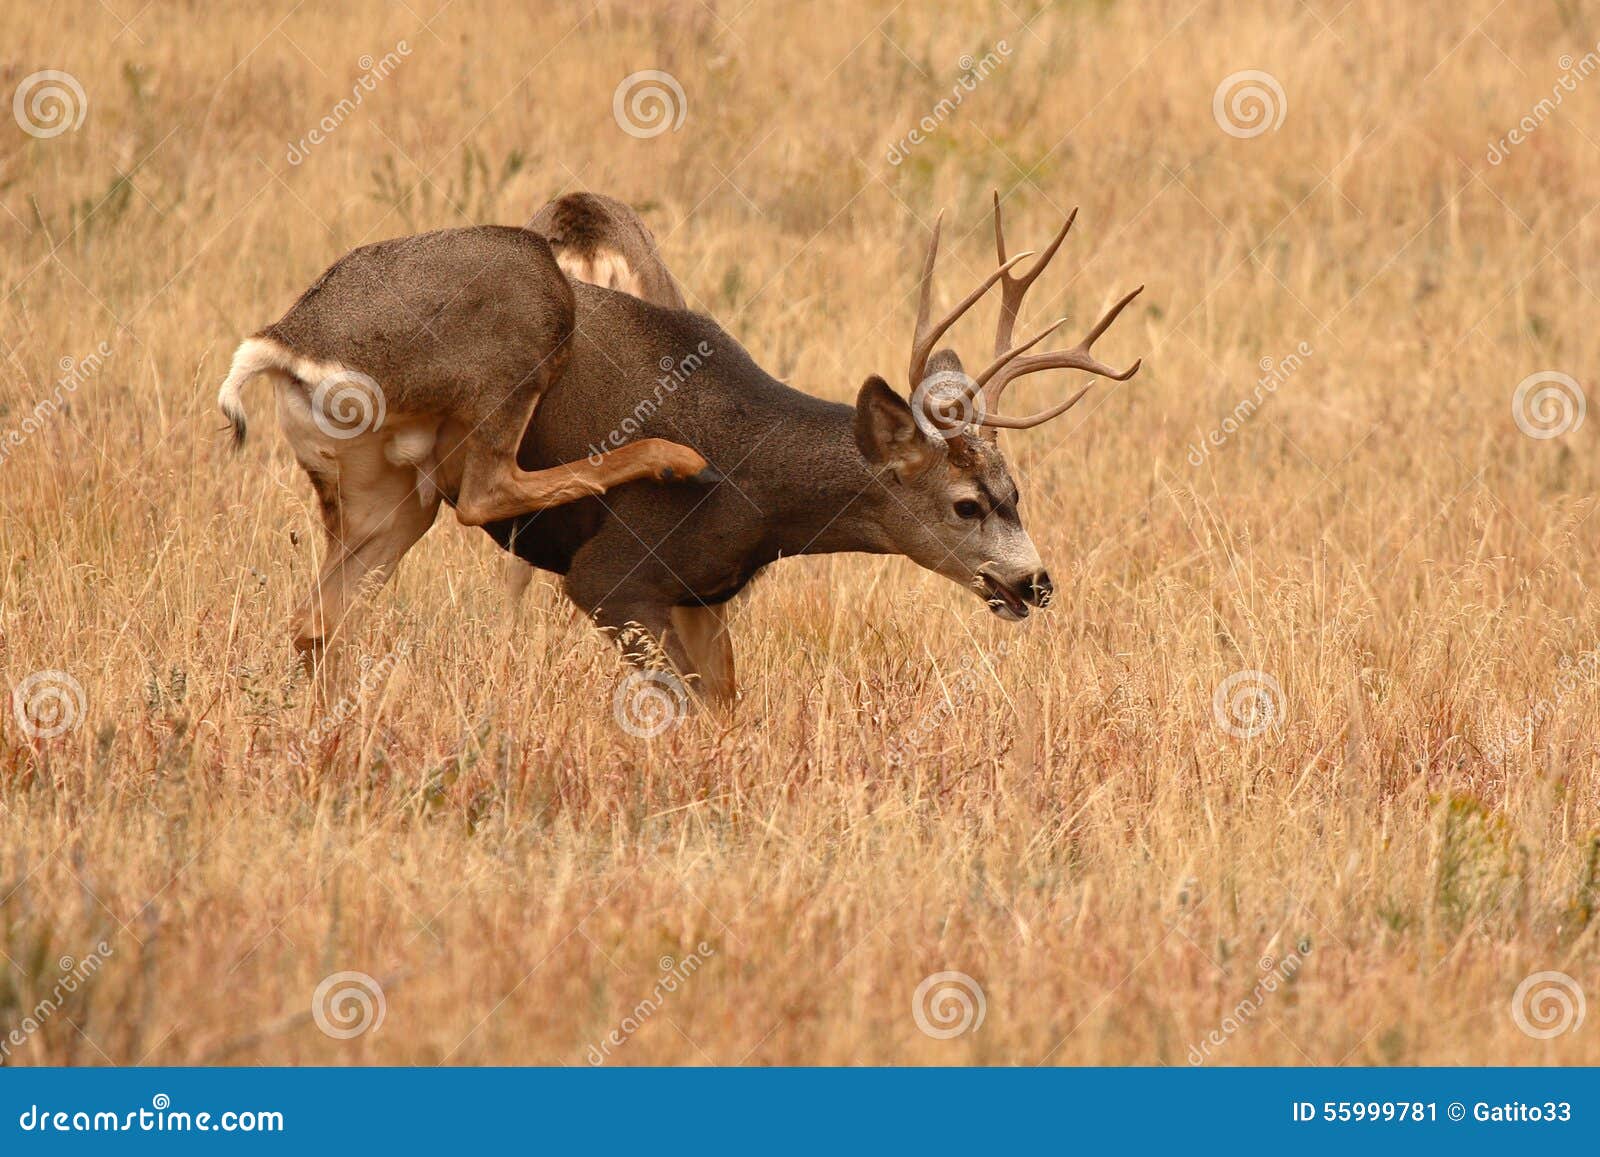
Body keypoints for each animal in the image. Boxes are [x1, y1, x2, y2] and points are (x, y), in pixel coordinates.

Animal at [480, 192, 1144, 705]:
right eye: (965, 505)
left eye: (1017, 492)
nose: (1036, 582)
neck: (749, 472)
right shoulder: (616, 569)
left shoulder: (703, 592)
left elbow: (725, 697)